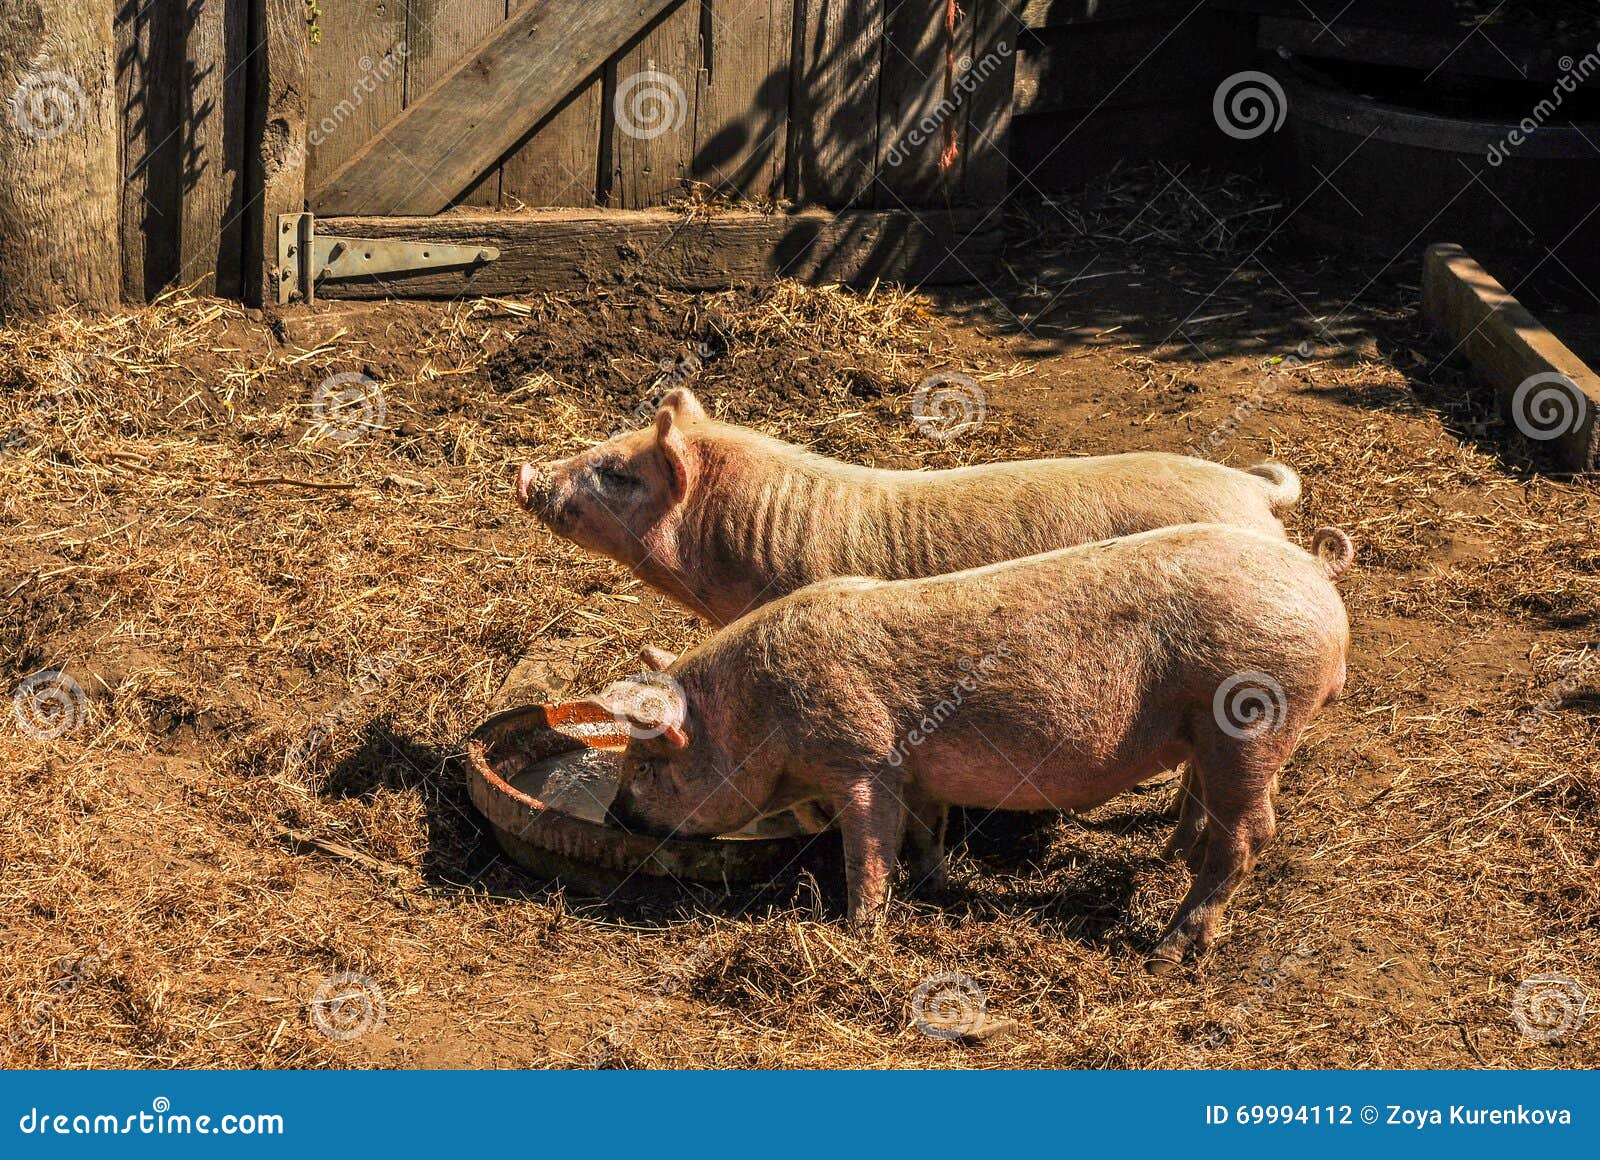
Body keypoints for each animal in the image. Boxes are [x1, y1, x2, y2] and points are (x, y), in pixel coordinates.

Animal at [595, 524, 1354, 971]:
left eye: (649, 764)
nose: (613, 818)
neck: (757, 711)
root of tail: (1317, 577)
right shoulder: (915, 772)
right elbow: (923, 830)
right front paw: (932, 883)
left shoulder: (863, 759)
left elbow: (867, 848)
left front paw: (861, 932)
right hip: (1223, 736)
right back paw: (1175, 860)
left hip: (1250, 721)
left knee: (1251, 835)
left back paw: (1166, 954)